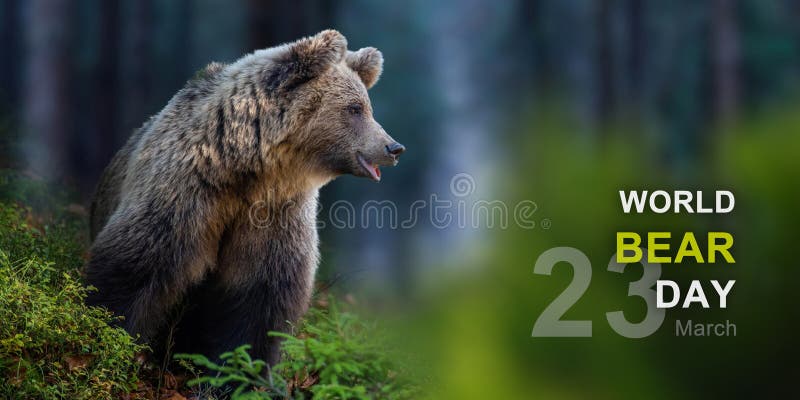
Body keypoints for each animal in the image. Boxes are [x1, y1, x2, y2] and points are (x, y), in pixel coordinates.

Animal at [85, 30, 405, 365]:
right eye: (354, 108)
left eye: (367, 107)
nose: (393, 147)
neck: (246, 168)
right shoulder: (185, 192)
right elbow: (137, 266)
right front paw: (111, 336)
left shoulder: (274, 211)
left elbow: (261, 295)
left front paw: (240, 368)